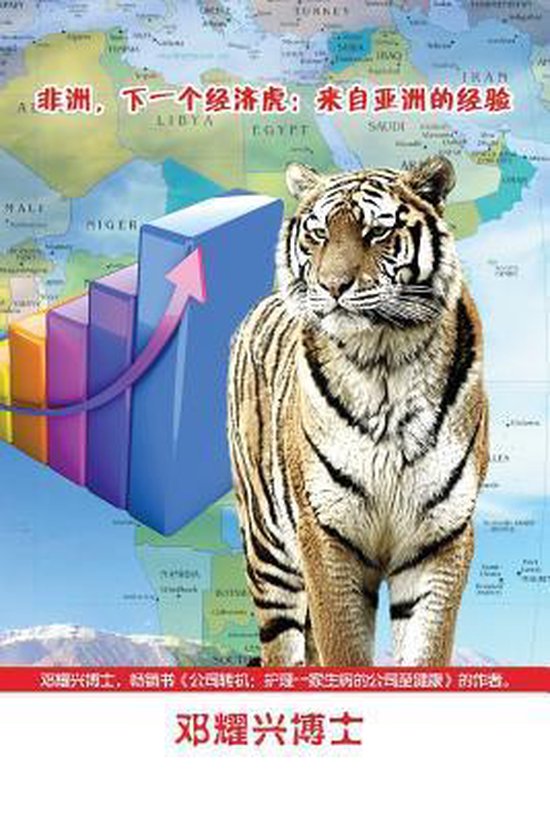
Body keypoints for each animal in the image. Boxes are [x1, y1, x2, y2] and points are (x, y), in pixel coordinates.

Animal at [227, 155, 489, 667]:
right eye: (318, 234)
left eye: (376, 232)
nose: (332, 286)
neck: (385, 362)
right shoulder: (326, 536)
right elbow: (343, 649)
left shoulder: (440, 540)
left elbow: (425, 651)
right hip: (270, 554)